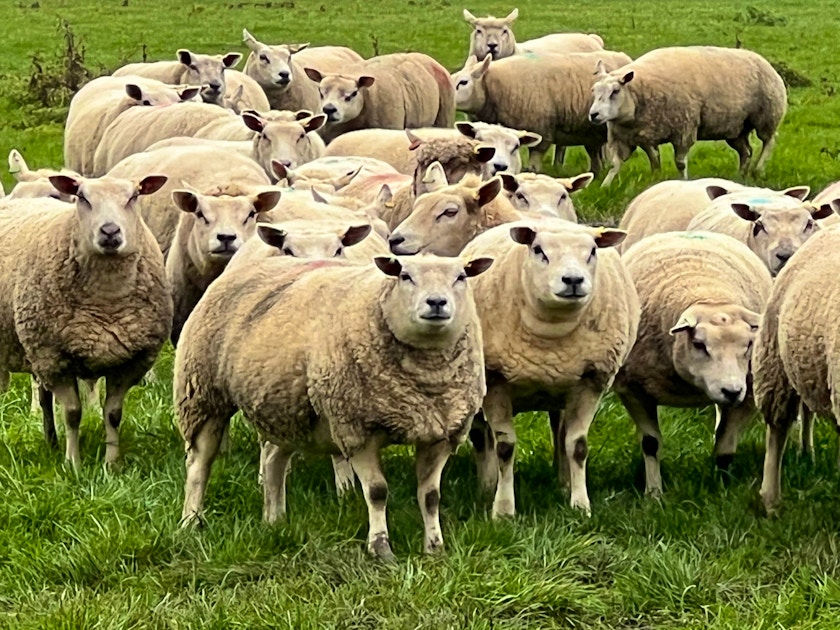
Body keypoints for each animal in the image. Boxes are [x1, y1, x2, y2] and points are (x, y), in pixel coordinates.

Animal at [0, 174, 172, 469]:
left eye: (134, 196)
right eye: (82, 197)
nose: (110, 231)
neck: (107, 301)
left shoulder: (130, 362)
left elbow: (113, 413)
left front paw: (111, 463)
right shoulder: (54, 359)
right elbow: (72, 413)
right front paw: (73, 463)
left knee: (44, 399)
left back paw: (51, 441)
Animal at [175, 253, 493, 560]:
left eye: (461, 276)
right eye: (405, 275)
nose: (437, 302)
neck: (425, 382)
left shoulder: (440, 433)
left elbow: (431, 496)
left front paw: (435, 548)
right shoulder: (356, 429)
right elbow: (377, 492)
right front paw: (381, 548)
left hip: (286, 410)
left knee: (273, 460)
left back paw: (275, 520)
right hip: (202, 394)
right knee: (199, 465)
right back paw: (191, 520)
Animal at [459, 219, 638, 515]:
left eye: (592, 251)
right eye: (538, 250)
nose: (573, 280)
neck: (551, 334)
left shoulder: (591, 381)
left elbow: (577, 445)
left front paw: (580, 505)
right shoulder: (496, 381)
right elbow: (504, 447)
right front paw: (503, 509)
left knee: (561, 431)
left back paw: (563, 482)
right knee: (482, 437)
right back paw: (486, 487)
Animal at [589, 46, 787, 185]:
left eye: (615, 91)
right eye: (594, 90)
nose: (593, 115)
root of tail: (763, 61)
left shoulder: (684, 129)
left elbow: (680, 163)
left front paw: (683, 182)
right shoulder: (632, 135)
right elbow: (619, 163)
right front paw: (605, 186)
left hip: (767, 117)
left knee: (769, 141)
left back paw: (758, 170)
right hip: (736, 128)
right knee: (746, 151)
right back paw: (741, 176)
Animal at [614, 231, 771, 496]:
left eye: (749, 344)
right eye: (699, 344)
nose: (731, 391)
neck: (709, 295)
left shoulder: (748, 395)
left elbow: (725, 449)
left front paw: (722, 489)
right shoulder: (633, 389)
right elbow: (650, 444)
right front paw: (654, 494)